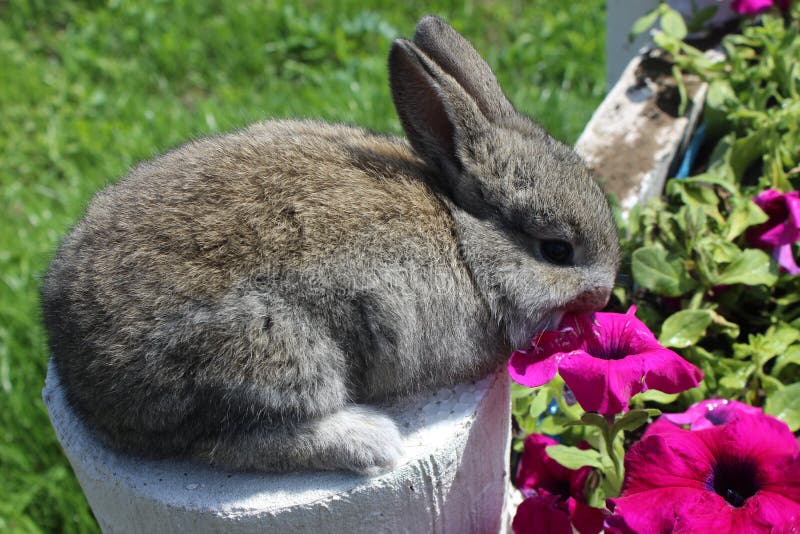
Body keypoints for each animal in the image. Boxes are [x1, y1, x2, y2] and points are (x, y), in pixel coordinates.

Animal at [41, 16, 620, 475]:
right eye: (557, 251)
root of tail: (81, 377)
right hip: (272, 354)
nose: (605, 294)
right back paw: (372, 442)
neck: (464, 235)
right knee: (228, 444)